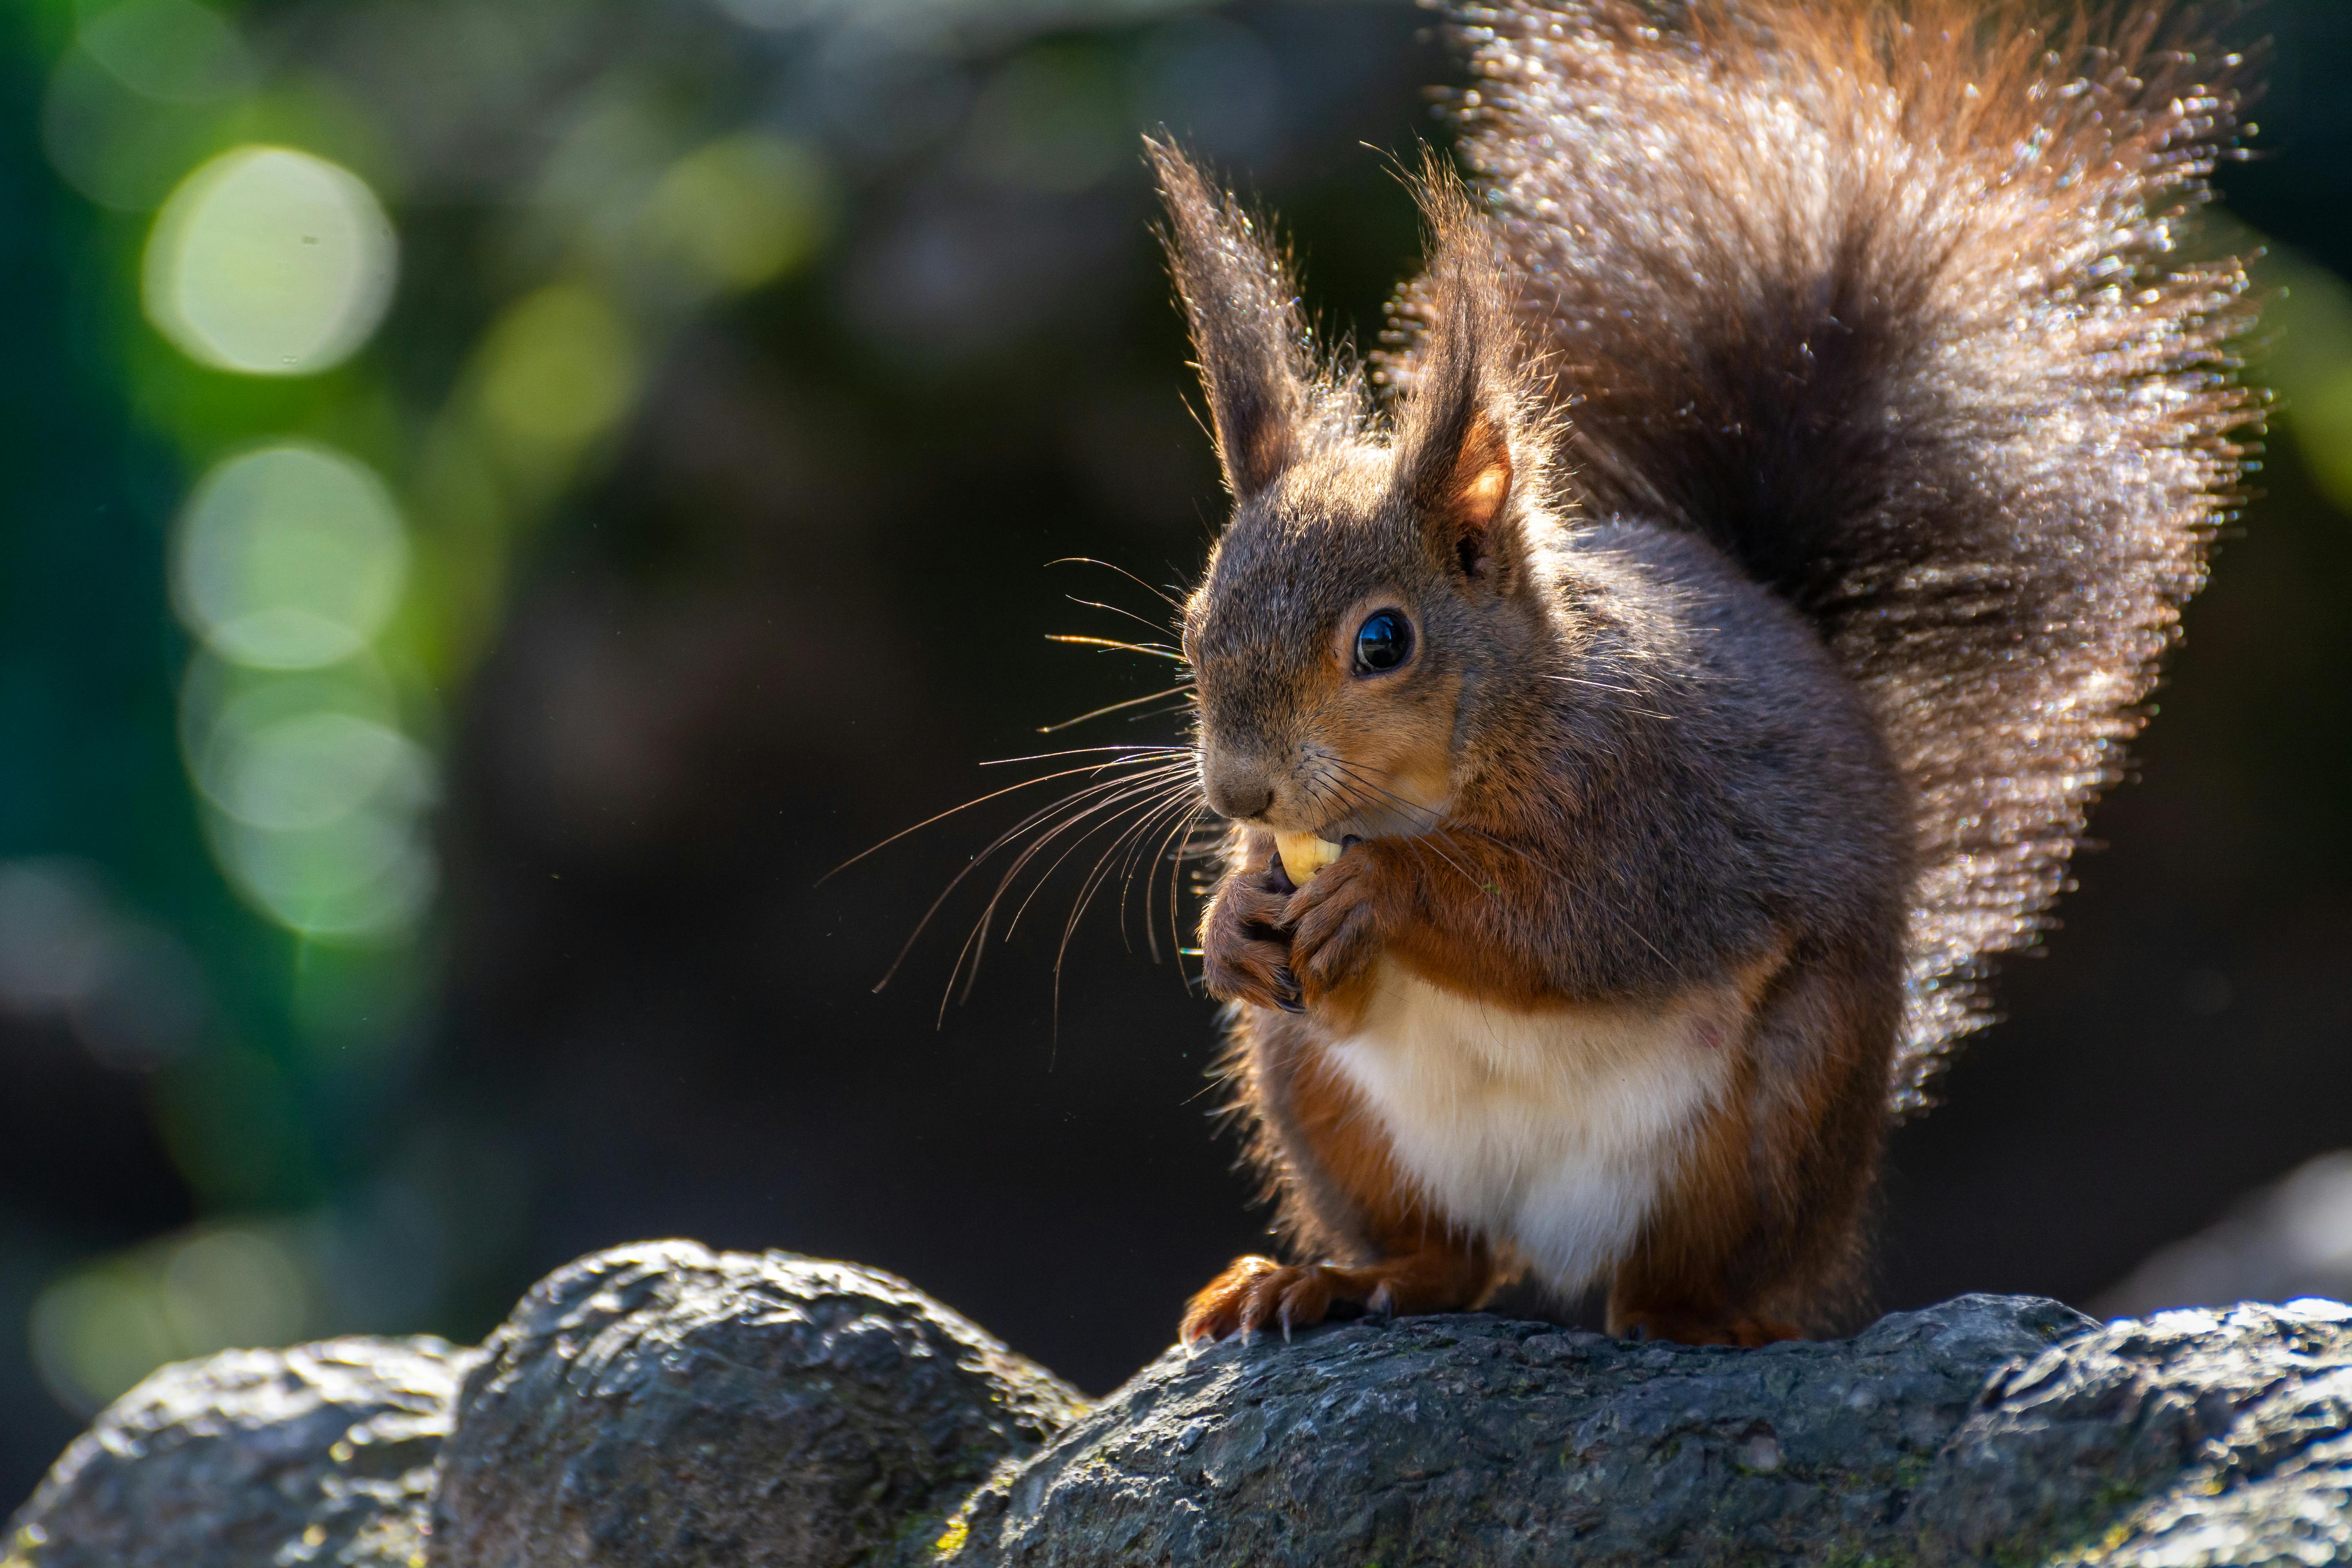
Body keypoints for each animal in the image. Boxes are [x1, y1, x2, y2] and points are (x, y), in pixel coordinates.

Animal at [1149, 0, 2255, 1347]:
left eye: (1382, 642)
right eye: (1195, 618)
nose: (1240, 793)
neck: (1469, 757)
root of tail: (1558, 1243)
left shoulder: (1660, 813)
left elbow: (1573, 930)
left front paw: (1388, 894)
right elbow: (1323, 977)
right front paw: (1229, 920)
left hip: (1778, 1108)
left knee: (1690, 1277)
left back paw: (1705, 1320)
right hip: (1321, 1101)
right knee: (1445, 1262)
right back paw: (1327, 1279)